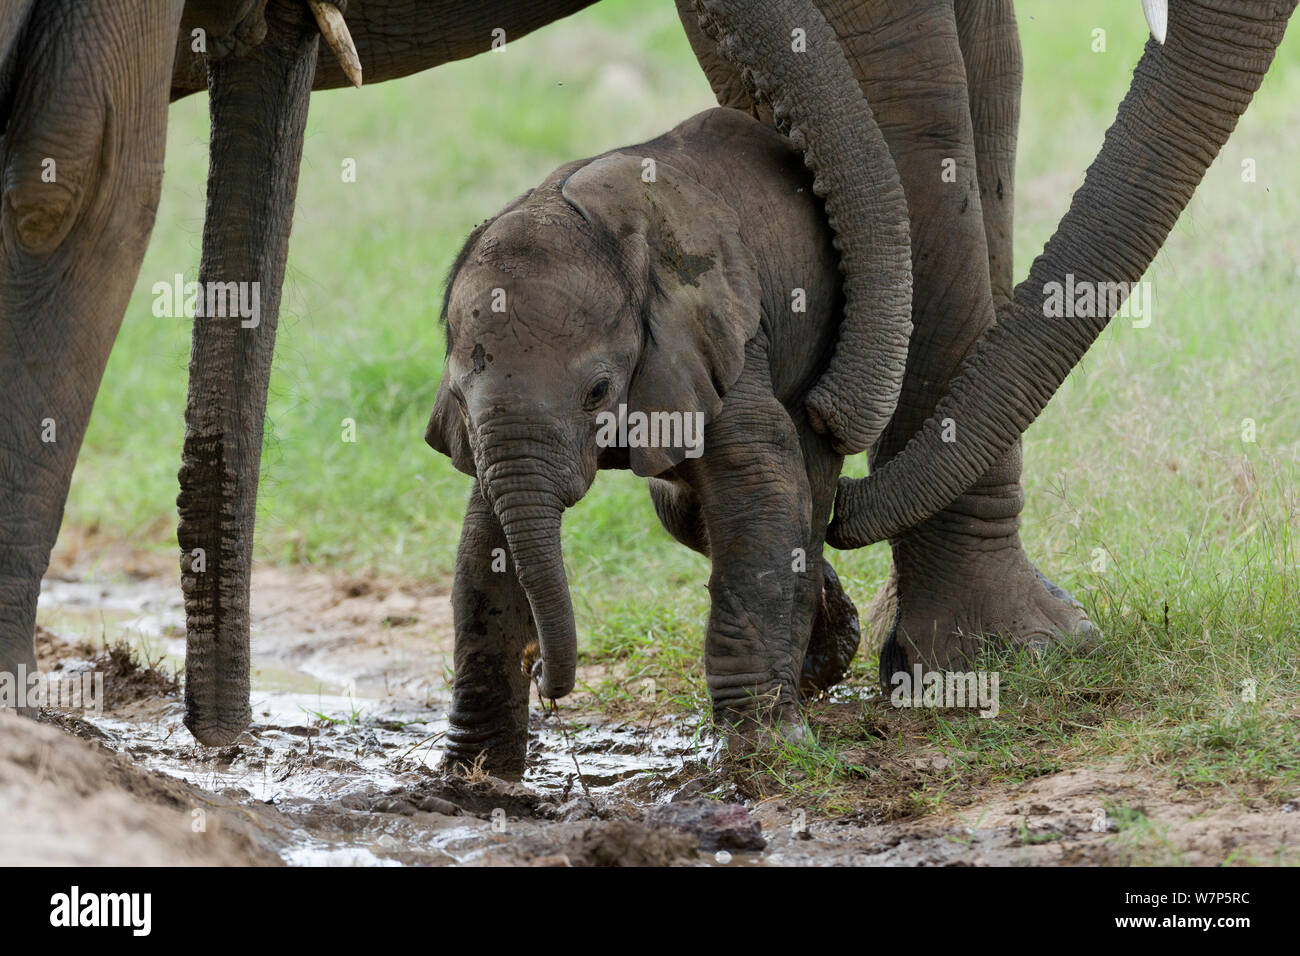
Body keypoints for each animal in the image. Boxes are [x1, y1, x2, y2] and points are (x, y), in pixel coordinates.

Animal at [426, 107, 867, 774]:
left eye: (597, 392)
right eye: (457, 399)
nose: (545, 678)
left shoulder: (716, 341)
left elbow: (758, 485)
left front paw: (760, 754)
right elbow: (487, 537)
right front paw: (473, 777)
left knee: (799, 492)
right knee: (685, 510)